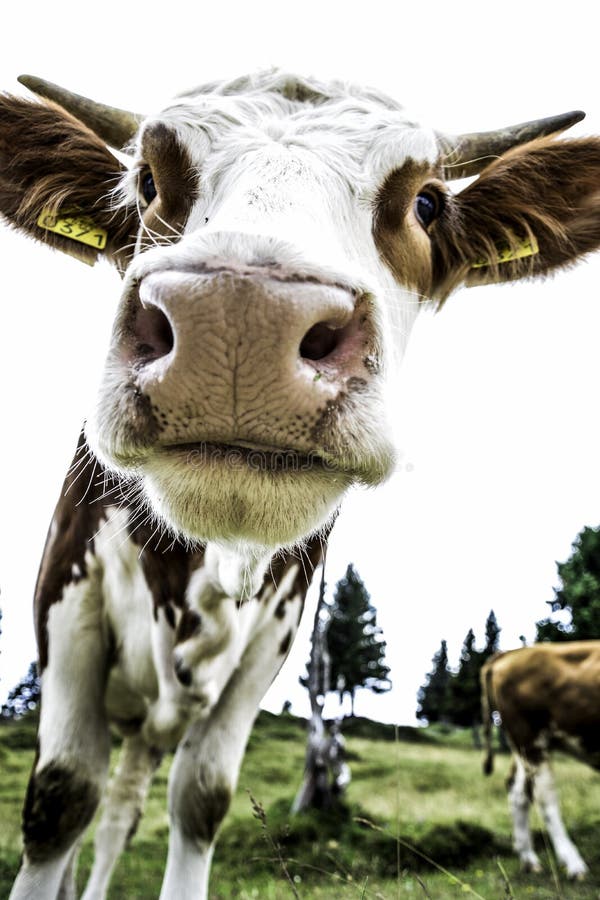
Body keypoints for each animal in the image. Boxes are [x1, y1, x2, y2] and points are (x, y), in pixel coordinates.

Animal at [481, 642, 600, 879]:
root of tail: (512, 653)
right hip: (530, 738)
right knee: (545, 797)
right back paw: (574, 865)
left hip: (524, 748)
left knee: (517, 791)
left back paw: (529, 860)